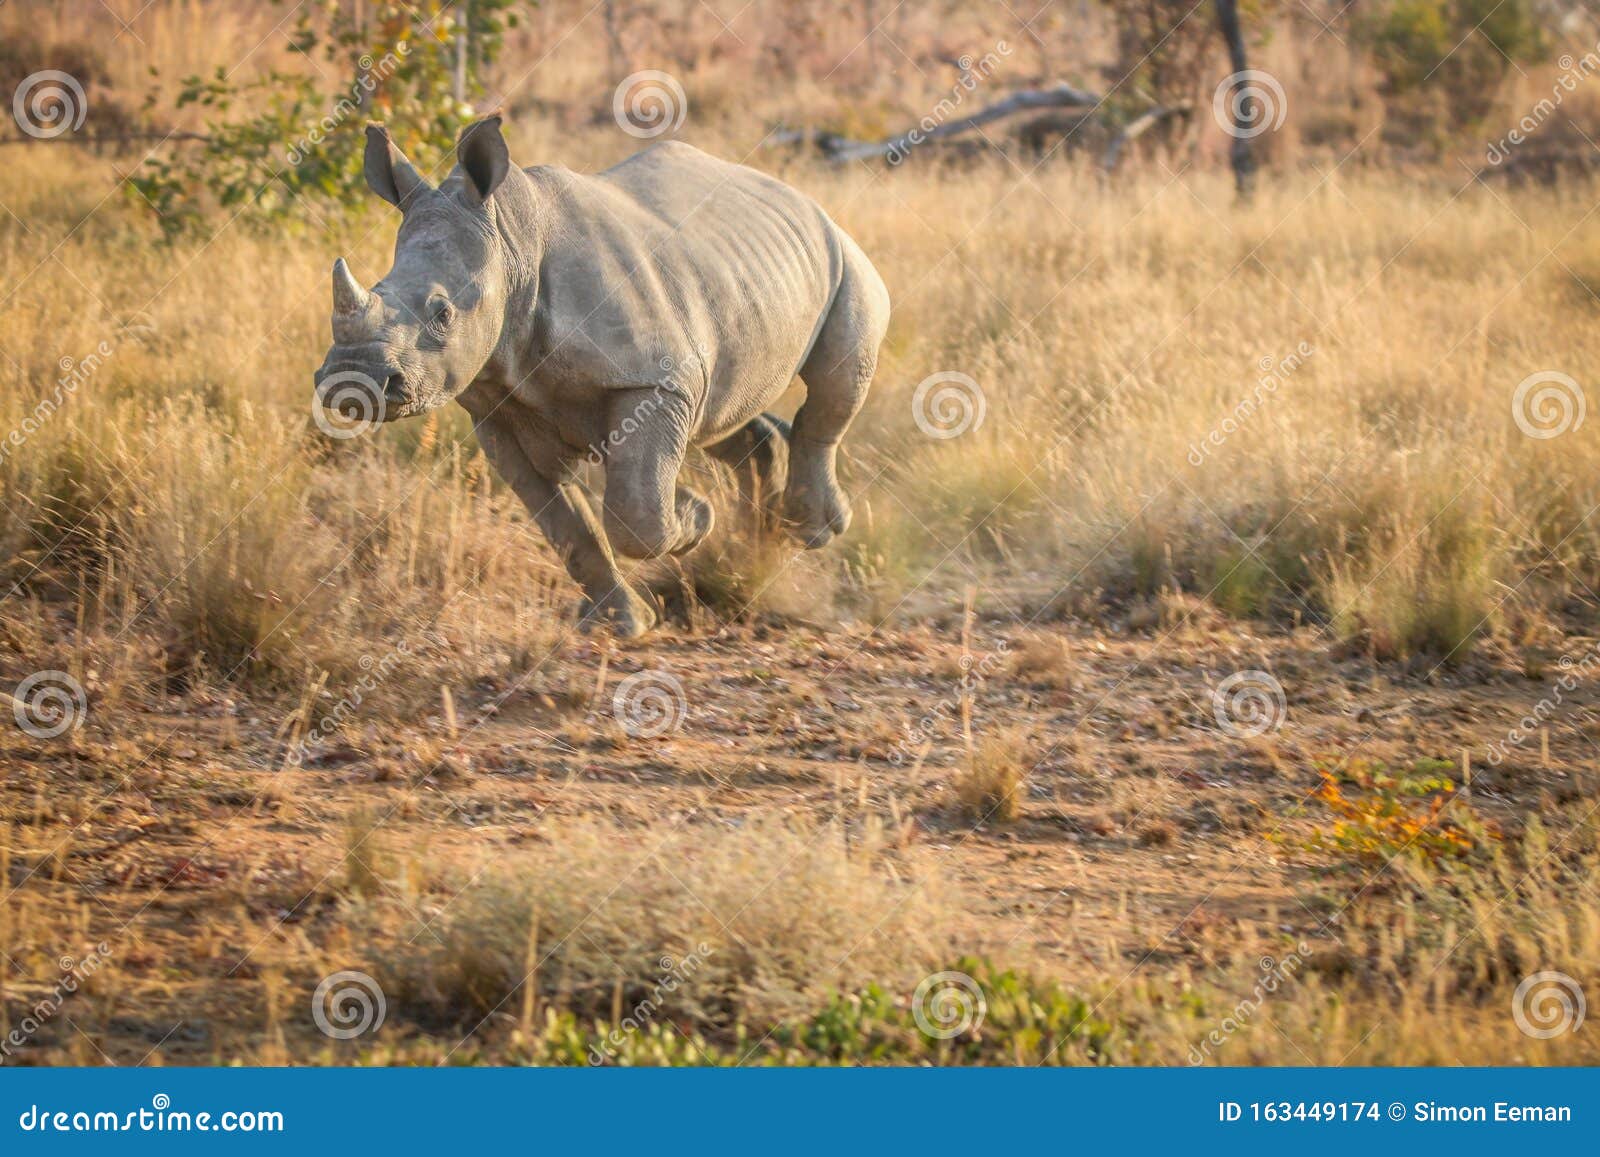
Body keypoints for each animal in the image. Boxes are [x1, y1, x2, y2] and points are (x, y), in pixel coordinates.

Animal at [314, 115, 890, 638]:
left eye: (442, 313)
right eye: (378, 287)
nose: (353, 377)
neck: (512, 246)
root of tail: (799, 195)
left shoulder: (653, 379)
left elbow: (635, 512)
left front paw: (693, 516)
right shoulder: (497, 409)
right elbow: (566, 526)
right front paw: (624, 623)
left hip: (842, 255)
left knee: (833, 383)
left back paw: (811, 529)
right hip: (736, 278)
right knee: (721, 411)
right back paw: (761, 543)